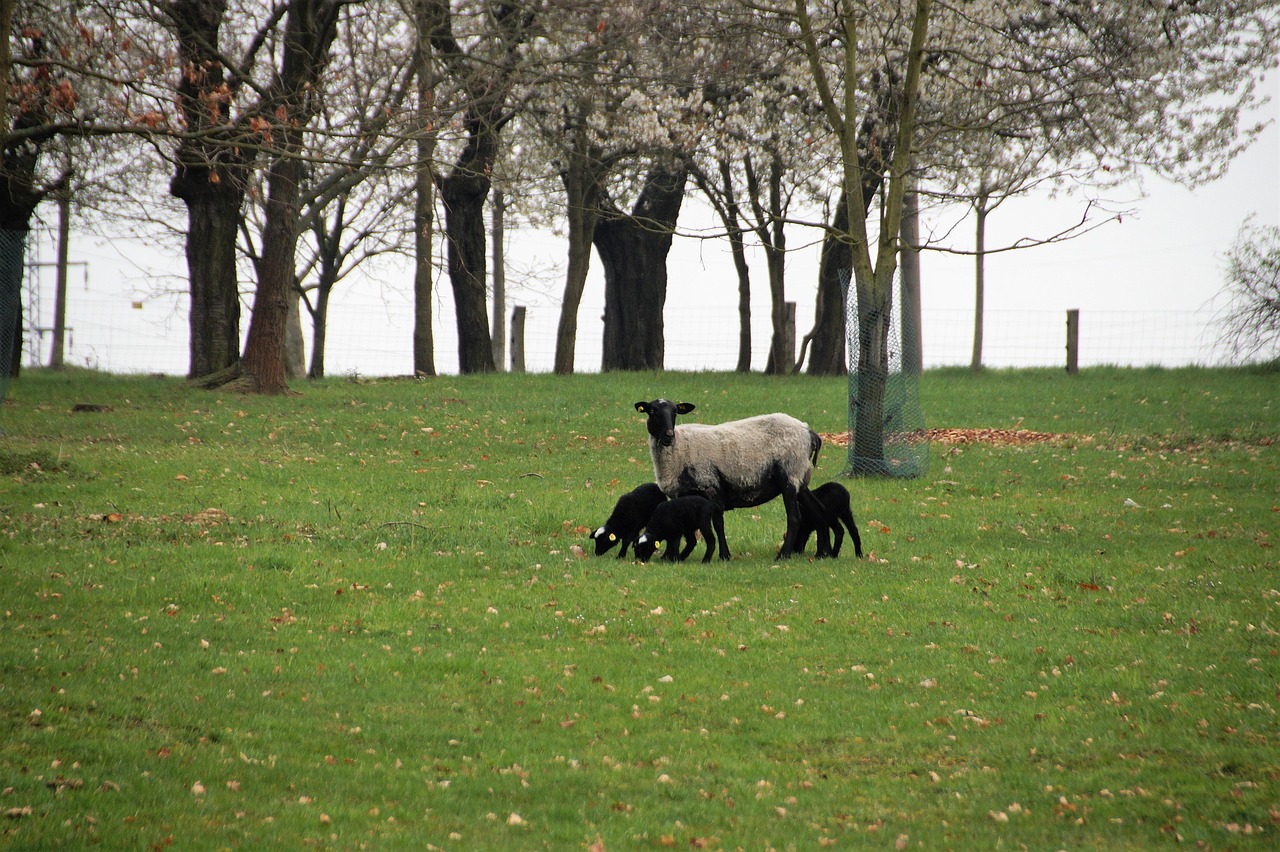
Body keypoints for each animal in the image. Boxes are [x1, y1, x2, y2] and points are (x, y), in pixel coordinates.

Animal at [633, 399, 832, 558]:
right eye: (652, 411)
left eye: (675, 412)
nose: (668, 435)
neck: (679, 449)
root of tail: (808, 431)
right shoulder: (684, 497)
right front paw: (673, 556)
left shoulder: (712, 487)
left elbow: (718, 524)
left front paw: (724, 555)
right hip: (801, 478)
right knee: (819, 510)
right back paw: (824, 553)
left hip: (789, 475)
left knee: (795, 517)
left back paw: (783, 555)